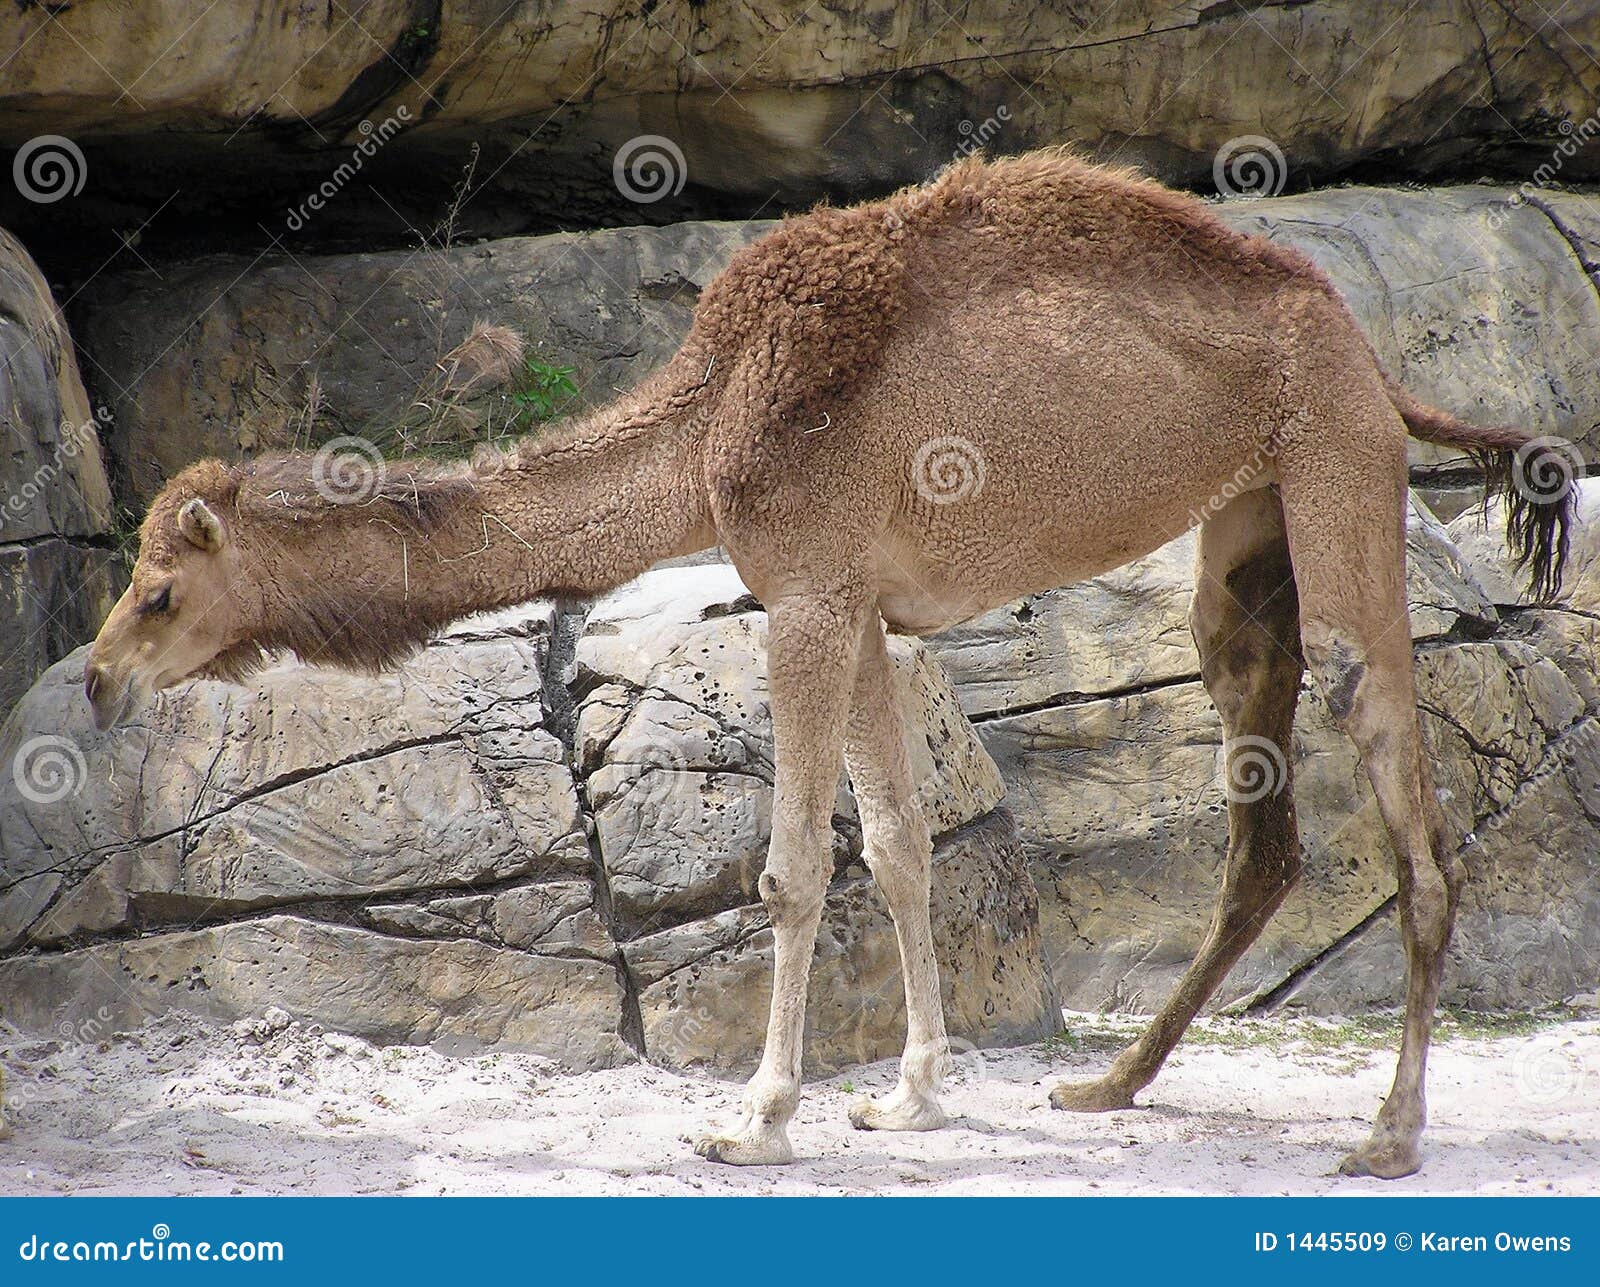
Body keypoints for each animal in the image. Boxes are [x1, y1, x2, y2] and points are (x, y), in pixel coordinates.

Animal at [83, 149, 1572, 1179]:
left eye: (159, 592)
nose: (95, 677)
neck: (708, 429)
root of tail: (1367, 350)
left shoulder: (800, 592)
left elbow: (797, 864)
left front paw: (756, 1118)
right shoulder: (860, 604)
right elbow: (902, 842)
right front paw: (908, 1093)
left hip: (1336, 461)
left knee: (1398, 779)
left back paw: (1386, 1132)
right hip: (1246, 529)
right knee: (1262, 822)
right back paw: (1106, 1086)